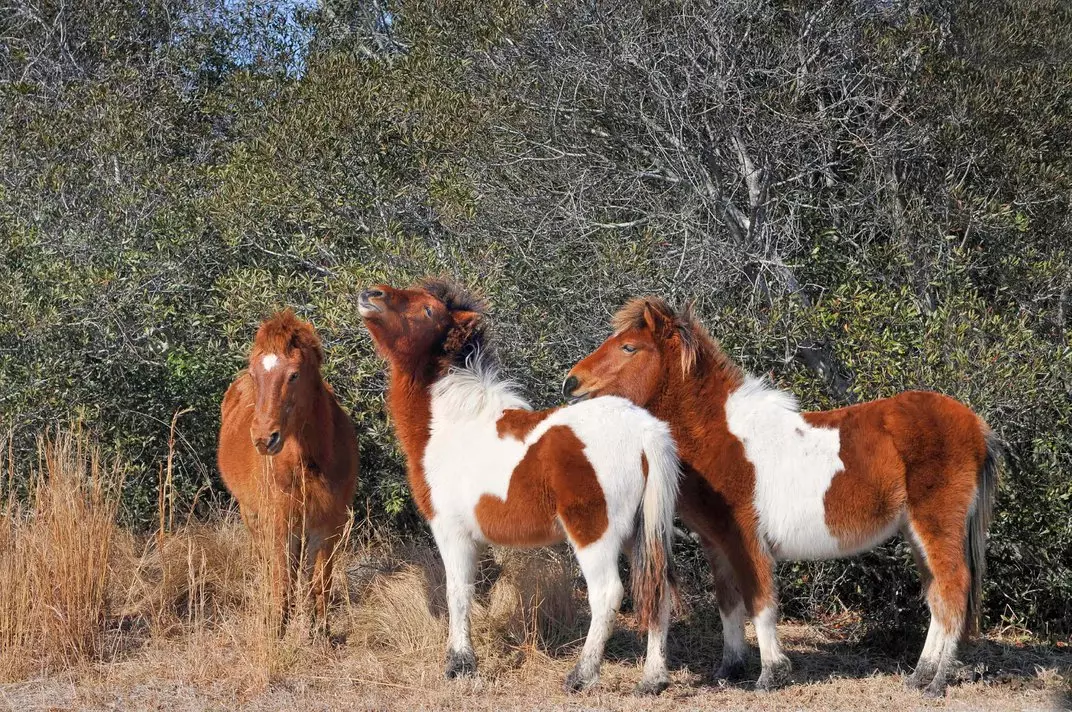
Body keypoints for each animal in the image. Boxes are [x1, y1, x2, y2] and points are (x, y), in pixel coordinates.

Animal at [217, 310, 360, 630]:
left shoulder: (329, 524)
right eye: (255, 375)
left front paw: (321, 632)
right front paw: (278, 630)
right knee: (268, 562)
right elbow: (282, 580)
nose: (263, 438)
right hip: (252, 513)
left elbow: (320, 582)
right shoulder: (279, 522)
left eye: (294, 375)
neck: (310, 461)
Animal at [358, 278, 677, 694]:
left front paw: (460, 664)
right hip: (642, 534)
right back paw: (653, 679)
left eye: (428, 310)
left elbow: (458, 592)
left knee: (608, 593)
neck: (455, 423)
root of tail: (646, 431)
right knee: (658, 591)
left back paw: (581, 676)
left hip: (595, 535)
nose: (372, 295)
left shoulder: (452, 532)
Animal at [566, 298, 999, 699]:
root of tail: (975, 425)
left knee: (953, 589)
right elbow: (729, 604)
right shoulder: (717, 543)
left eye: (629, 347)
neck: (723, 436)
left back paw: (937, 683)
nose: (571, 384)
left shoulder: (746, 539)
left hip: (936, 525)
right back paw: (920, 675)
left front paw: (771, 674)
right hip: (916, 532)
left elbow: (760, 602)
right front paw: (729, 671)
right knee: (937, 594)